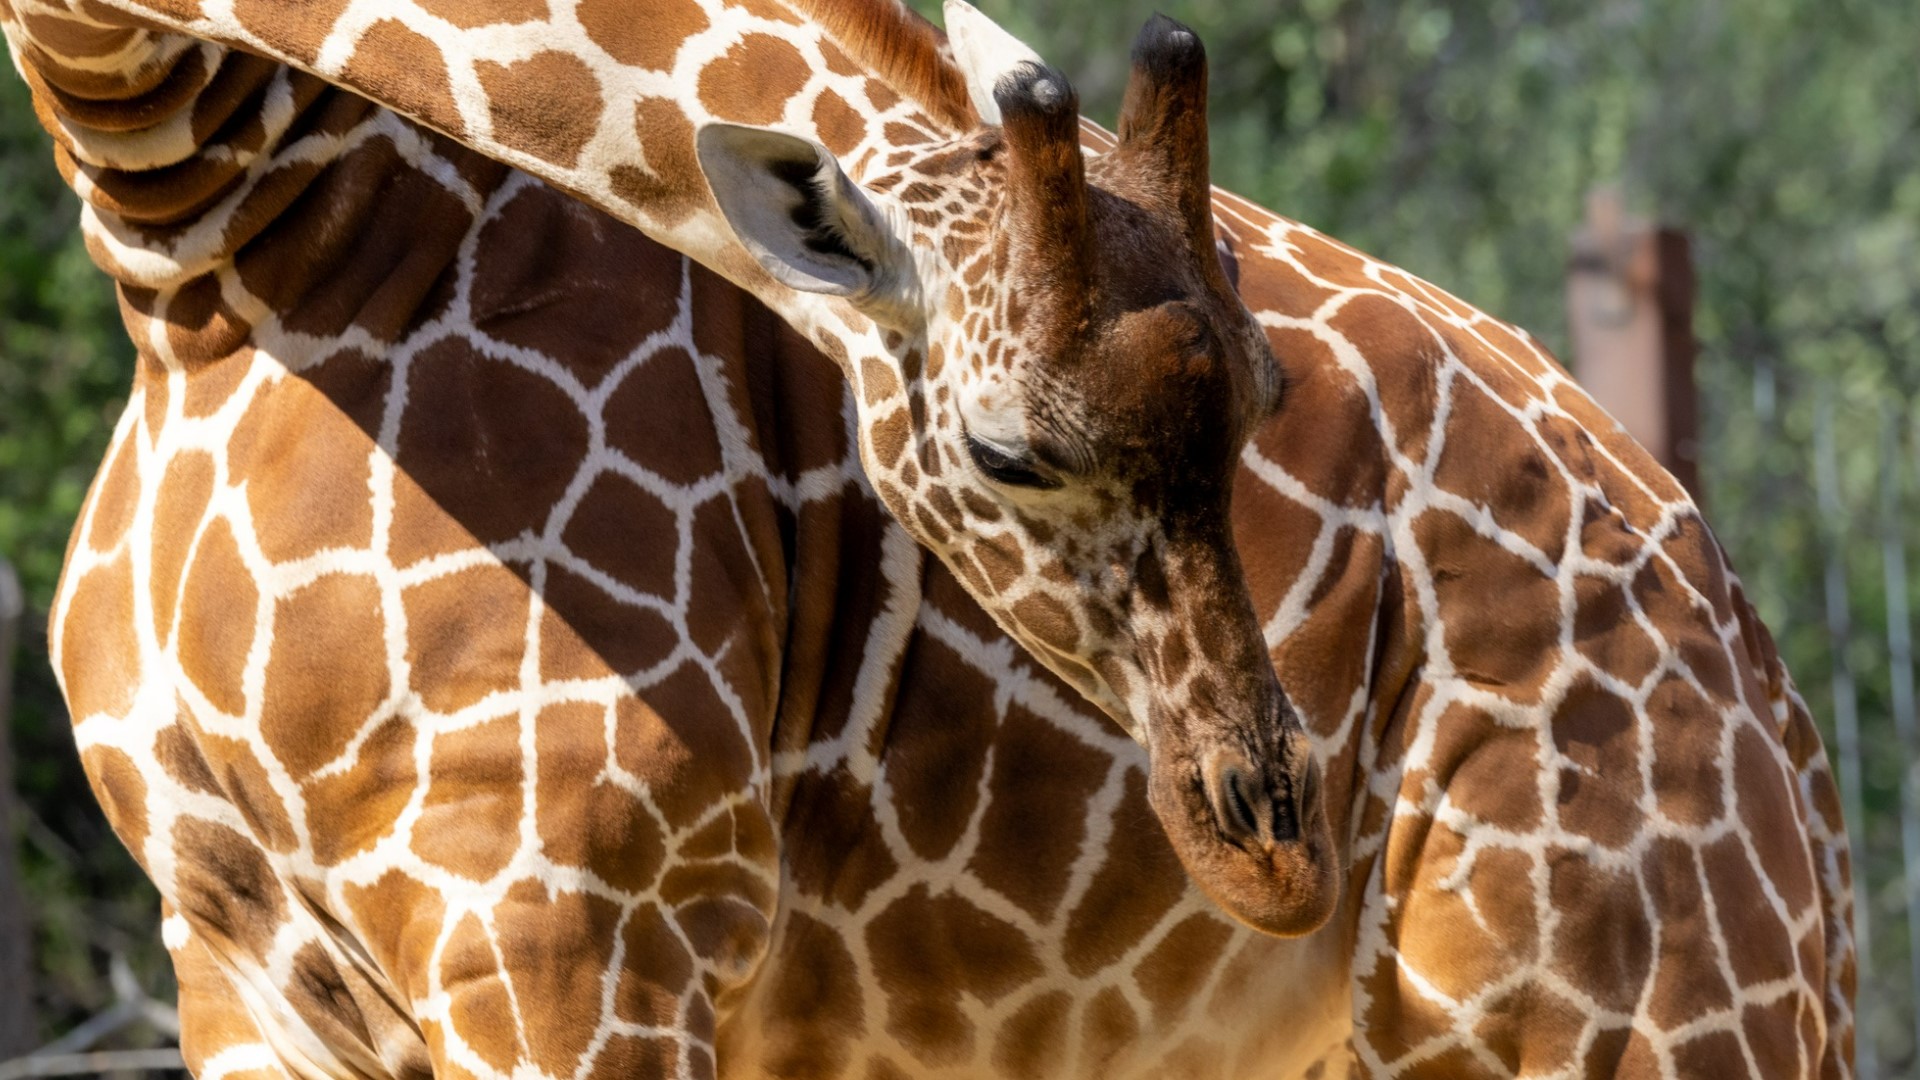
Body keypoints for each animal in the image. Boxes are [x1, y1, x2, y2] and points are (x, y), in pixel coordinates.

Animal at [3, 0, 1855, 1077]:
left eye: (1266, 394)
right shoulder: (239, 964)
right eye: (1002, 448)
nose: (1276, 839)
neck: (218, 233)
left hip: (1618, 1014)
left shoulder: (578, 927)